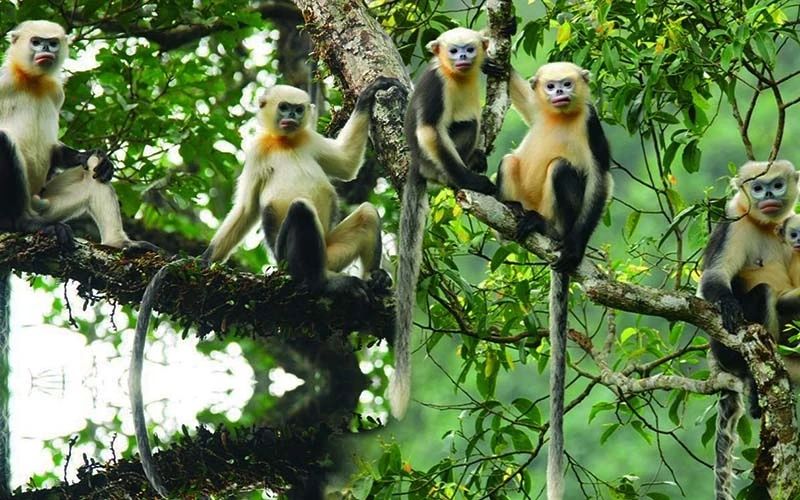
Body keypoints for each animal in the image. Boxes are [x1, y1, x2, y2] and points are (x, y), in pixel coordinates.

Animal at [130, 78, 400, 498]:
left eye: (297, 109)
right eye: (283, 108)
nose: (290, 118)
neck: (285, 143)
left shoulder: (309, 139)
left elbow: (345, 165)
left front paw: (370, 95)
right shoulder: (257, 152)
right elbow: (245, 210)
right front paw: (203, 261)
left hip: (333, 249)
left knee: (368, 213)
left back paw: (376, 280)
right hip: (291, 256)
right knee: (302, 211)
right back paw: (324, 283)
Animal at [388, 27, 496, 421]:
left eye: (469, 49)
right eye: (453, 51)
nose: (464, 57)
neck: (457, 77)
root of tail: (417, 166)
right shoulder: (436, 87)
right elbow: (431, 130)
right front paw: (471, 180)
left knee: (474, 120)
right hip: (433, 160)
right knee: (459, 127)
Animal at [493, 62, 612, 500]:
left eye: (567, 84)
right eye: (550, 86)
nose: (560, 93)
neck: (561, 117)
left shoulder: (593, 125)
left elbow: (601, 178)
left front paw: (576, 251)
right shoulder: (538, 109)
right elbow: (527, 110)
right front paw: (496, 64)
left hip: (559, 210)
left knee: (562, 170)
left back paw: (552, 233)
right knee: (509, 161)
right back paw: (515, 218)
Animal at [697, 160, 799, 500]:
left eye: (777, 185)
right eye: (757, 187)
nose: (767, 194)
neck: (766, 226)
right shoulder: (733, 223)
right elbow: (713, 277)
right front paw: (729, 305)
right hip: (726, 350)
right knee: (765, 294)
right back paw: (753, 380)